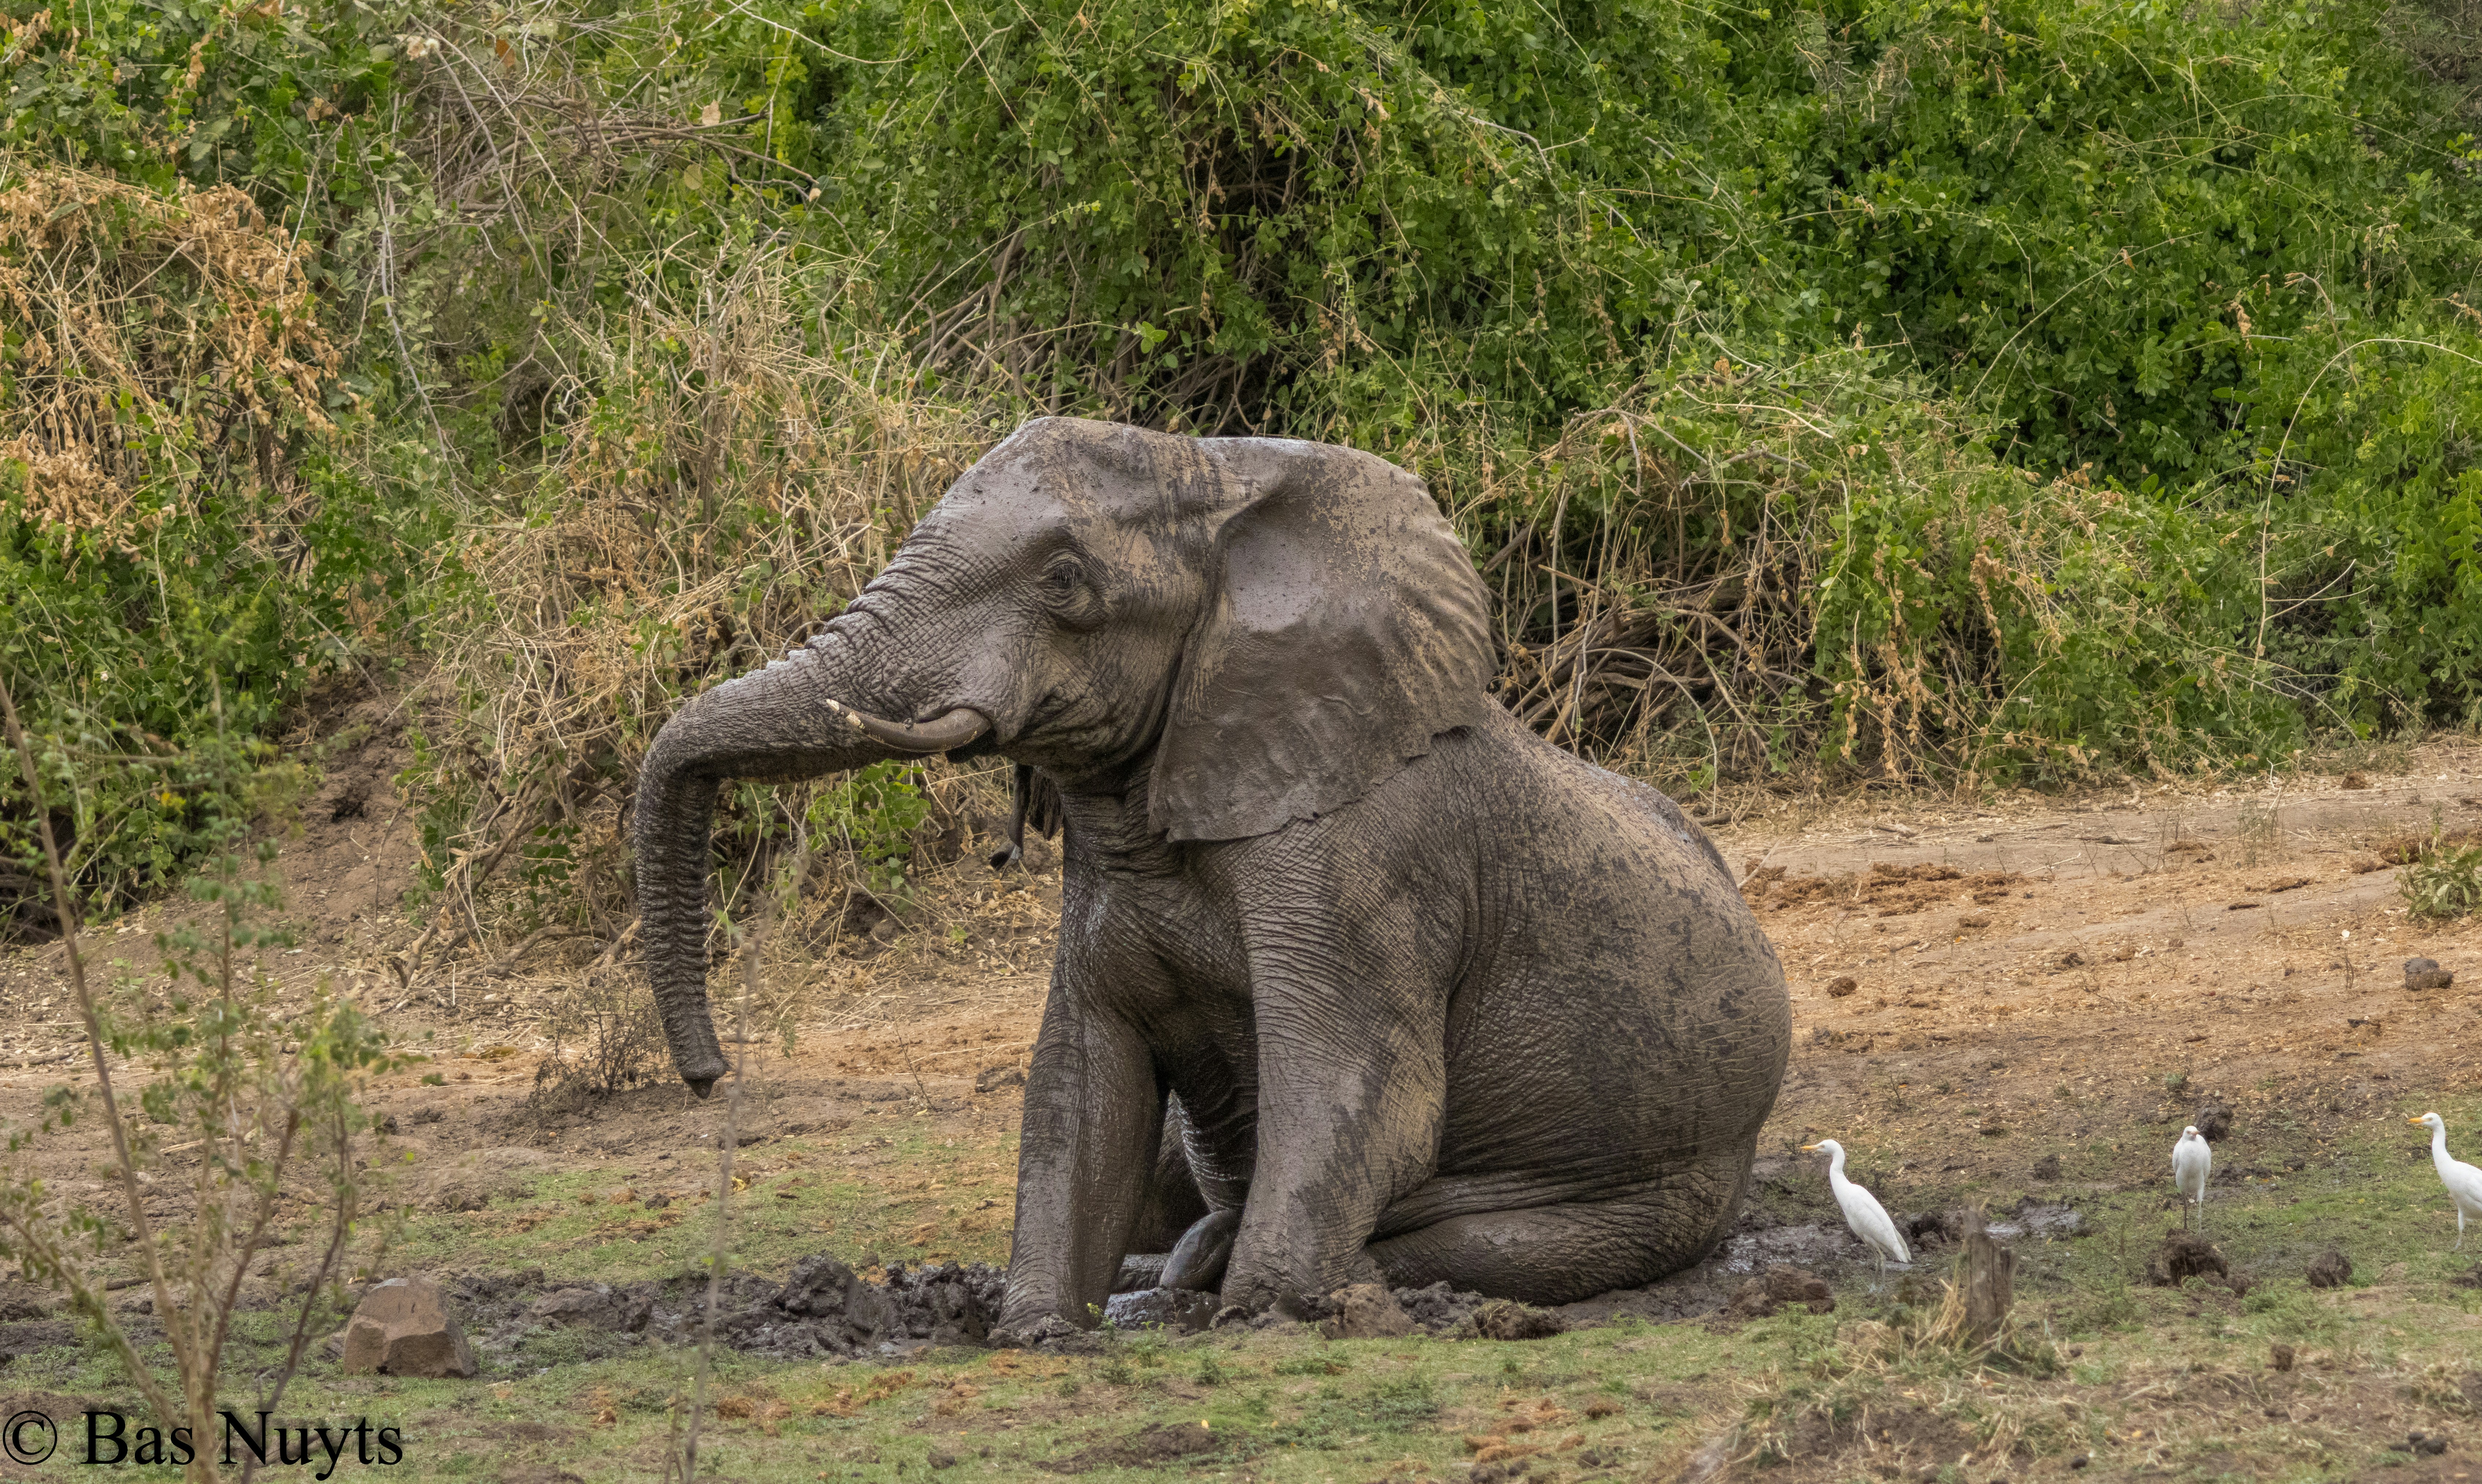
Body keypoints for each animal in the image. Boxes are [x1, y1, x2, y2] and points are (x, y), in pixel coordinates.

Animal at [631, 416, 1790, 1333]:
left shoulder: (1364, 854)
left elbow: (1360, 1088)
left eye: (1064, 582)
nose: (710, 1075)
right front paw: (1035, 1330)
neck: (1221, 478)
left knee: (1485, 1245)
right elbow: (1082, 1085)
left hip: (1656, 1190)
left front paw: (1266, 1312)